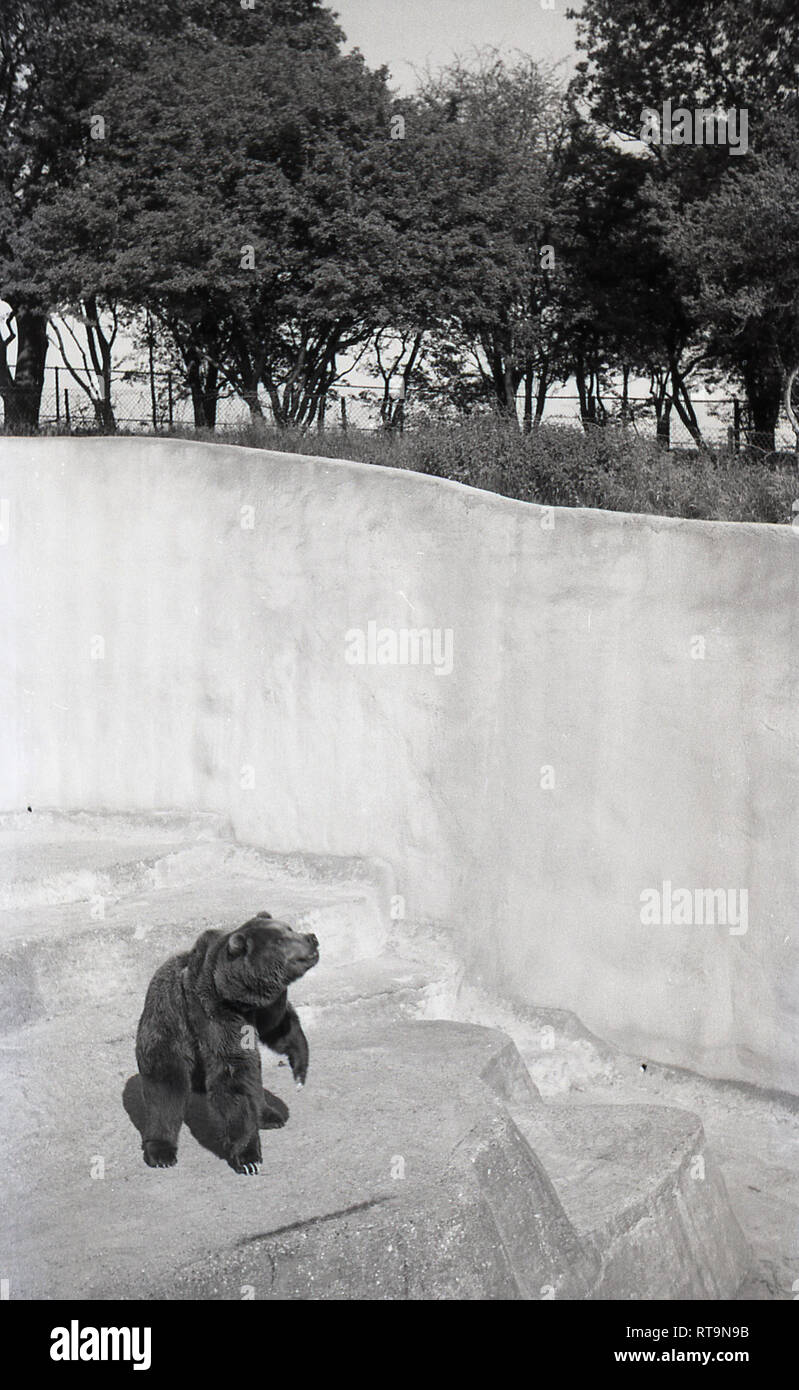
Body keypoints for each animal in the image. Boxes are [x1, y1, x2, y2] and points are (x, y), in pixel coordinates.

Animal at [135, 912, 319, 1174]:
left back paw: (269, 1115)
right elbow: (231, 1074)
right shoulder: (214, 1012)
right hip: (165, 1029)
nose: (311, 937)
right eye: (281, 940)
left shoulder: (265, 1009)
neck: (241, 996)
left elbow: (280, 1030)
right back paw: (161, 1151)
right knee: (165, 1090)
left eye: (289, 928)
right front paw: (249, 1156)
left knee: (254, 1074)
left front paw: (300, 1067)